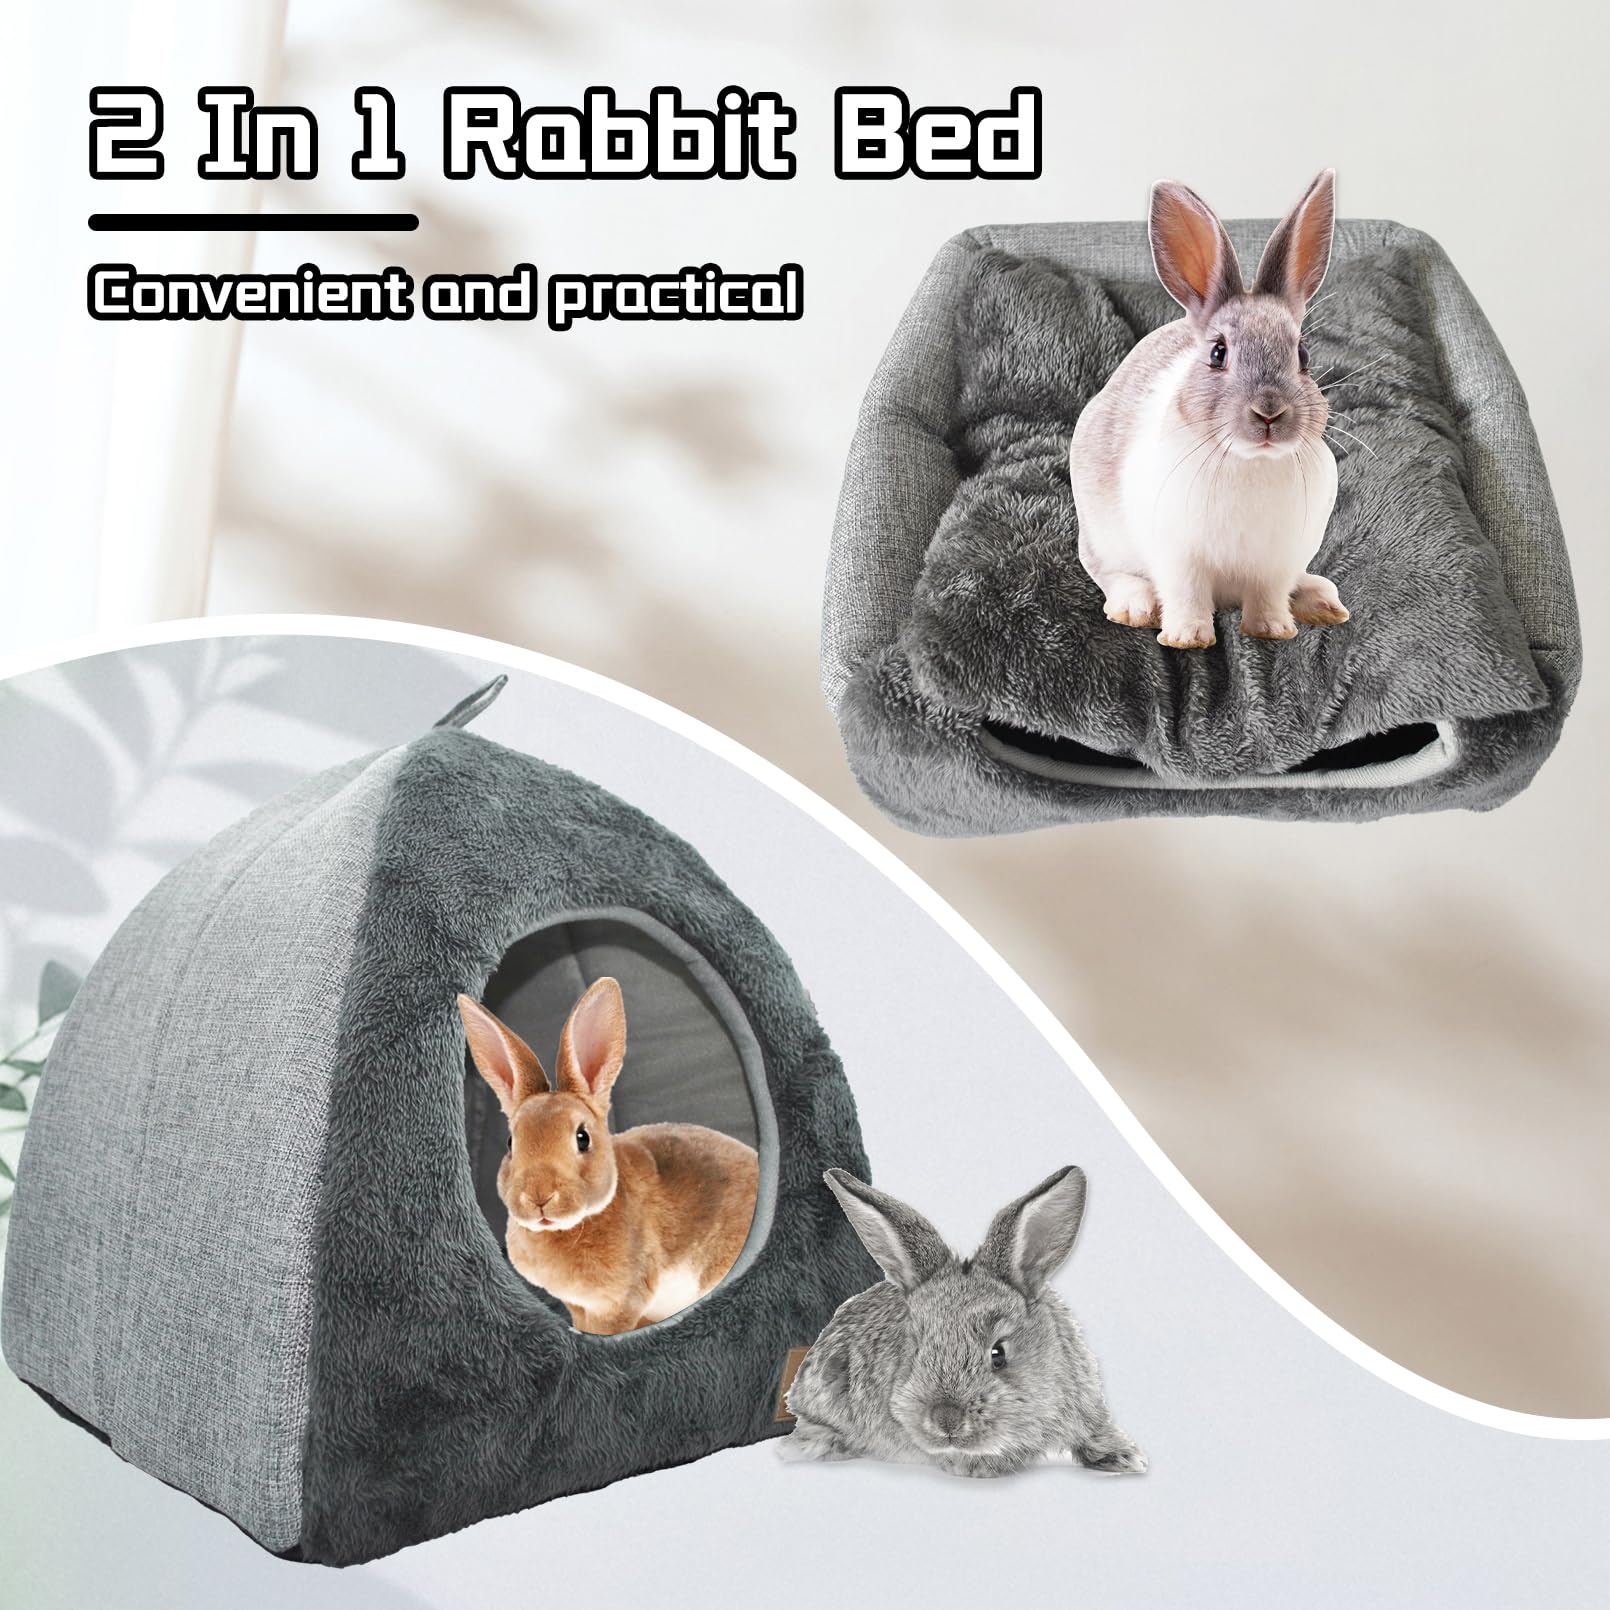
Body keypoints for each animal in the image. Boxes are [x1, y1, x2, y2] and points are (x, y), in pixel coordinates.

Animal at [1070, 169, 1347, 649]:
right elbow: (1186, 595)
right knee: (1111, 574)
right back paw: (1135, 607)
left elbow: (1269, 596)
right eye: (1218, 353)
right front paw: (1187, 638)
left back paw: (1321, 602)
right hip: (1101, 537)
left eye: (1303, 355)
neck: (1250, 461)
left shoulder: (1276, 562)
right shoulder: (1178, 557)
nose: (1269, 413)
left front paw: (1274, 630)